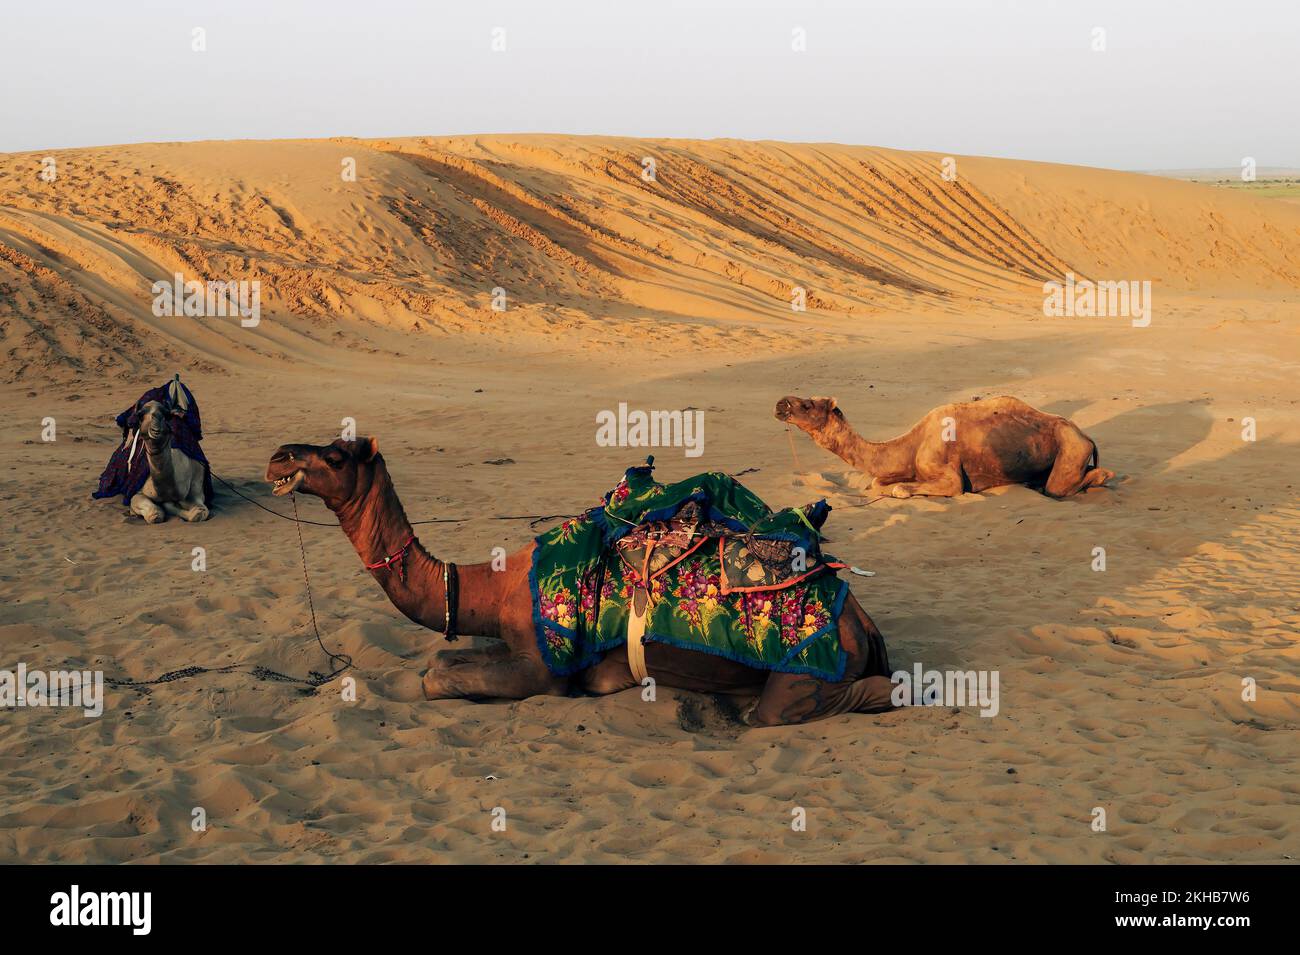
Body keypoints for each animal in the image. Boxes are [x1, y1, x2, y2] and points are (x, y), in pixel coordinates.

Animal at [265, 437, 896, 726]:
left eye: (337, 456)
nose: (279, 455)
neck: (495, 587)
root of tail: (859, 620)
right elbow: (442, 661)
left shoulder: (544, 669)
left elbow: (435, 678)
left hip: (805, 675)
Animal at [775, 395, 1114, 499]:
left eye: (807, 405)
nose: (780, 404)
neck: (912, 443)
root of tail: (1085, 435)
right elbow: (878, 482)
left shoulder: (947, 475)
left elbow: (903, 489)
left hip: (1070, 448)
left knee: (1059, 487)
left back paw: (1104, 476)